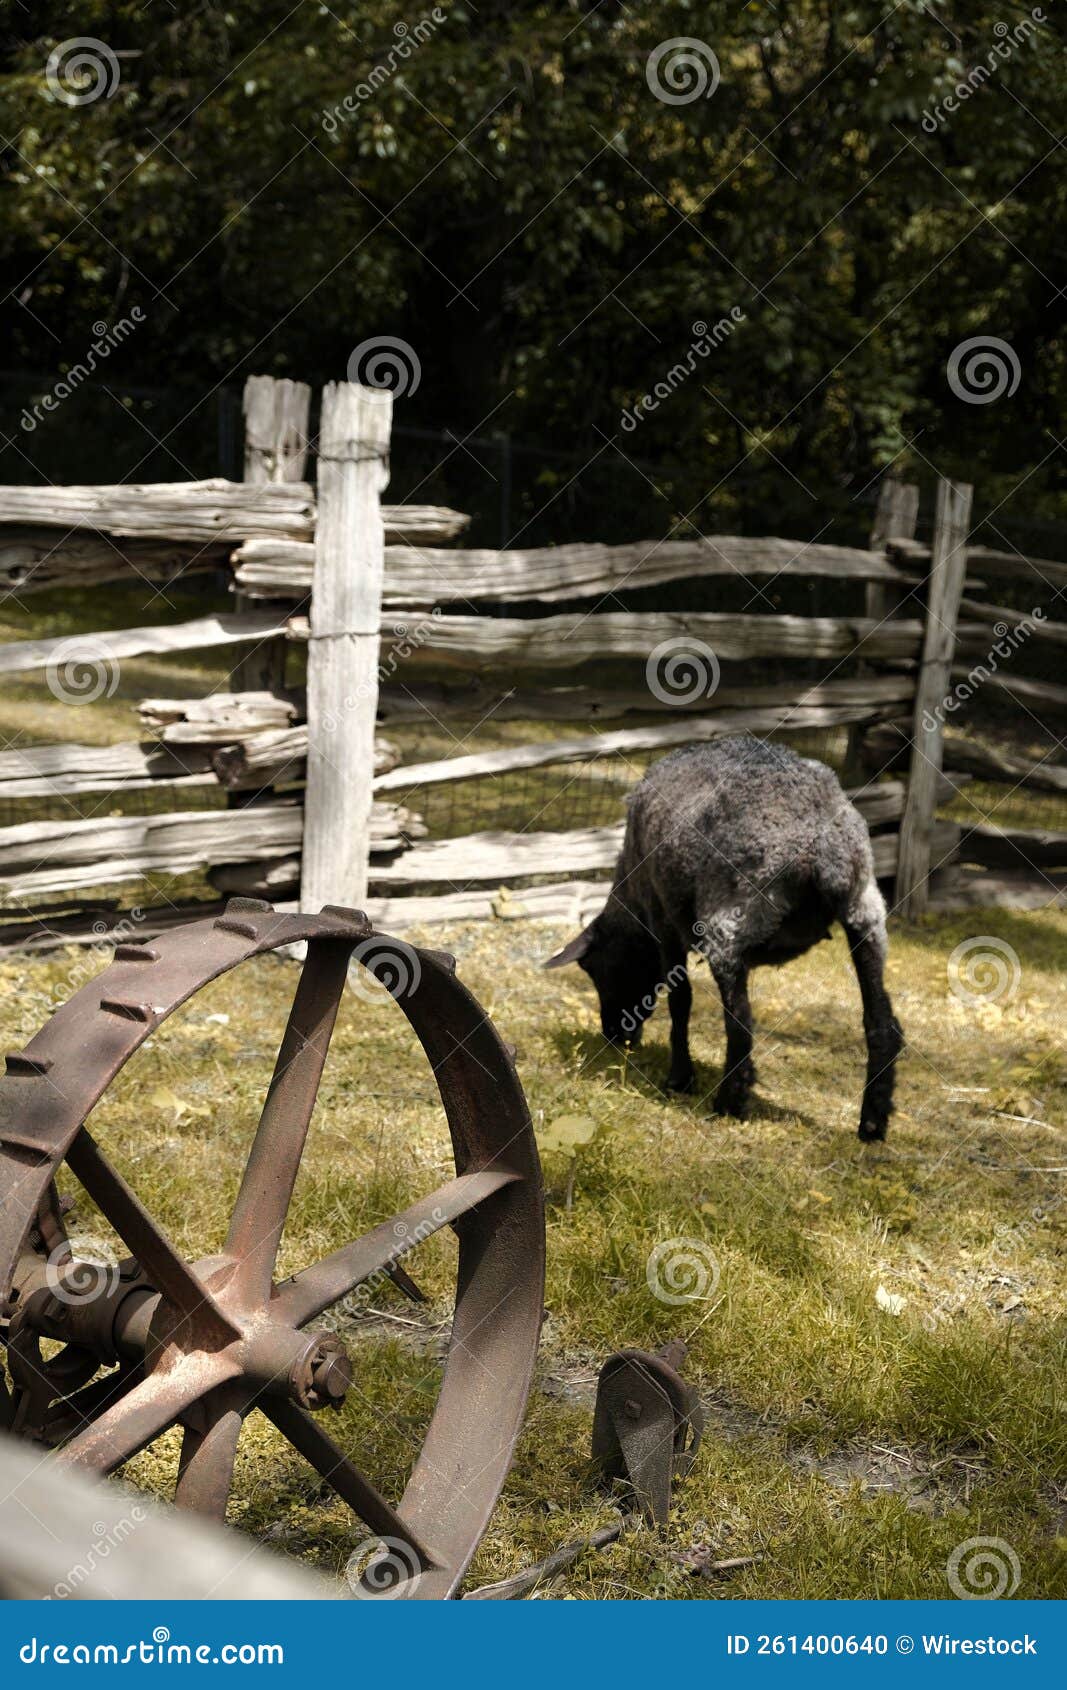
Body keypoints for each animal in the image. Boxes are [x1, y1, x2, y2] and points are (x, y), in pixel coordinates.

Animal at [545, 736, 903, 1141]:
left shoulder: (663, 918)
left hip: (731, 919)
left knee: (741, 1023)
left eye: (597, 971)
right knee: (880, 1024)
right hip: (865, 914)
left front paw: (680, 1079)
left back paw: (729, 1101)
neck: (631, 893)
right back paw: (872, 1121)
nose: (613, 1035)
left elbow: (680, 1001)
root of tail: (822, 842)